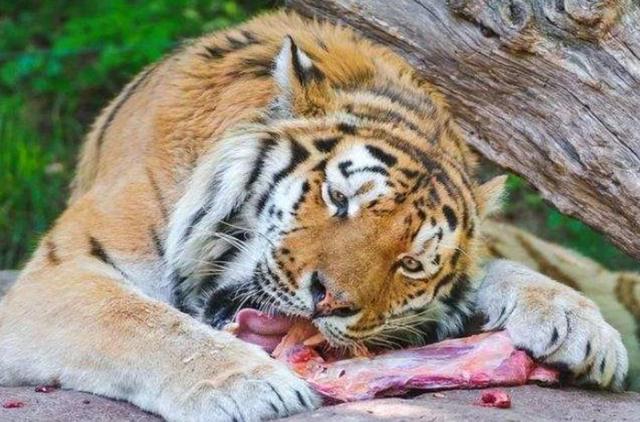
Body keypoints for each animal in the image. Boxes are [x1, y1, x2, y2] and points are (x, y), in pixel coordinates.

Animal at [0, 10, 631, 422]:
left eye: (411, 264)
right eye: (338, 198)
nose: (328, 301)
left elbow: (504, 269)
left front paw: (582, 329)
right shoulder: (62, 272)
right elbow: (146, 323)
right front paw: (252, 387)